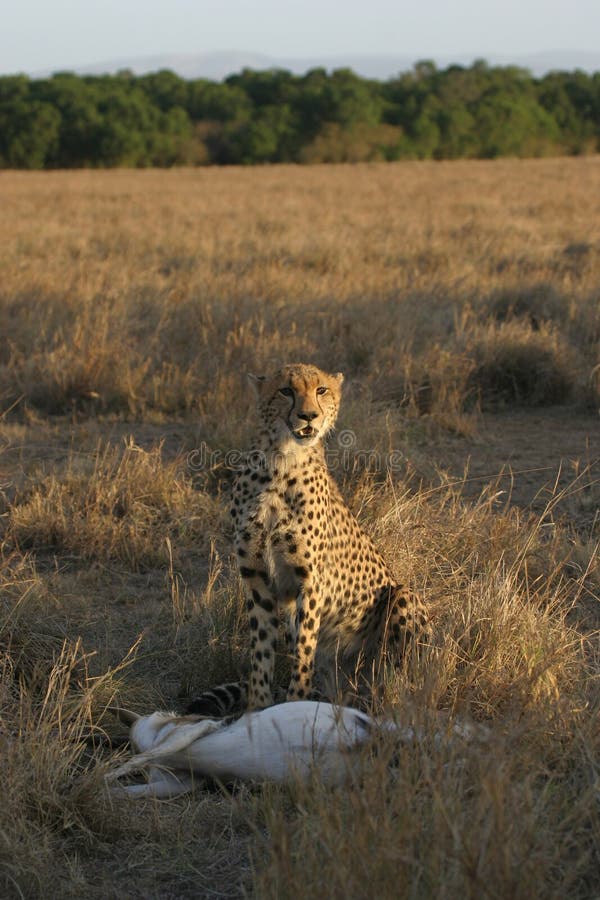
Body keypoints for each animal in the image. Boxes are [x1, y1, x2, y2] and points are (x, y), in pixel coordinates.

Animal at [188, 363, 430, 716]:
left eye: (321, 390)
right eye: (286, 391)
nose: (308, 416)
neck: (281, 461)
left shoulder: (310, 580)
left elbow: (304, 649)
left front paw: (293, 706)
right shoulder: (257, 576)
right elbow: (261, 649)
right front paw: (258, 709)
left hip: (403, 598)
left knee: (397, 679)